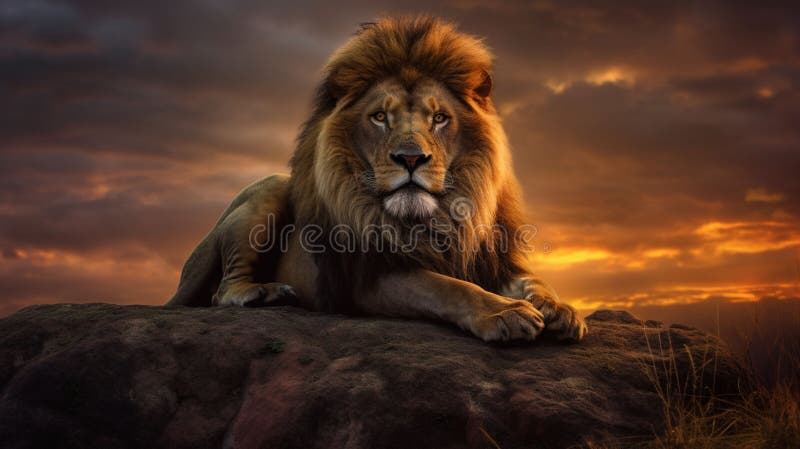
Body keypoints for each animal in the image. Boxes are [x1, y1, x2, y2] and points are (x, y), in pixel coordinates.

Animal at [167, 16, 587, 343]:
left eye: (439, 118)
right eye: (380, 117)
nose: (411, 158)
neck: (434, 221)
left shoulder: (491, 261)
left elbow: (532, 279)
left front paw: (559, 308)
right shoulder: (369, 277)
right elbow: (445, 286)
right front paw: (505, 314)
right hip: (270, 187)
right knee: (222, 292)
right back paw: (265, 293)